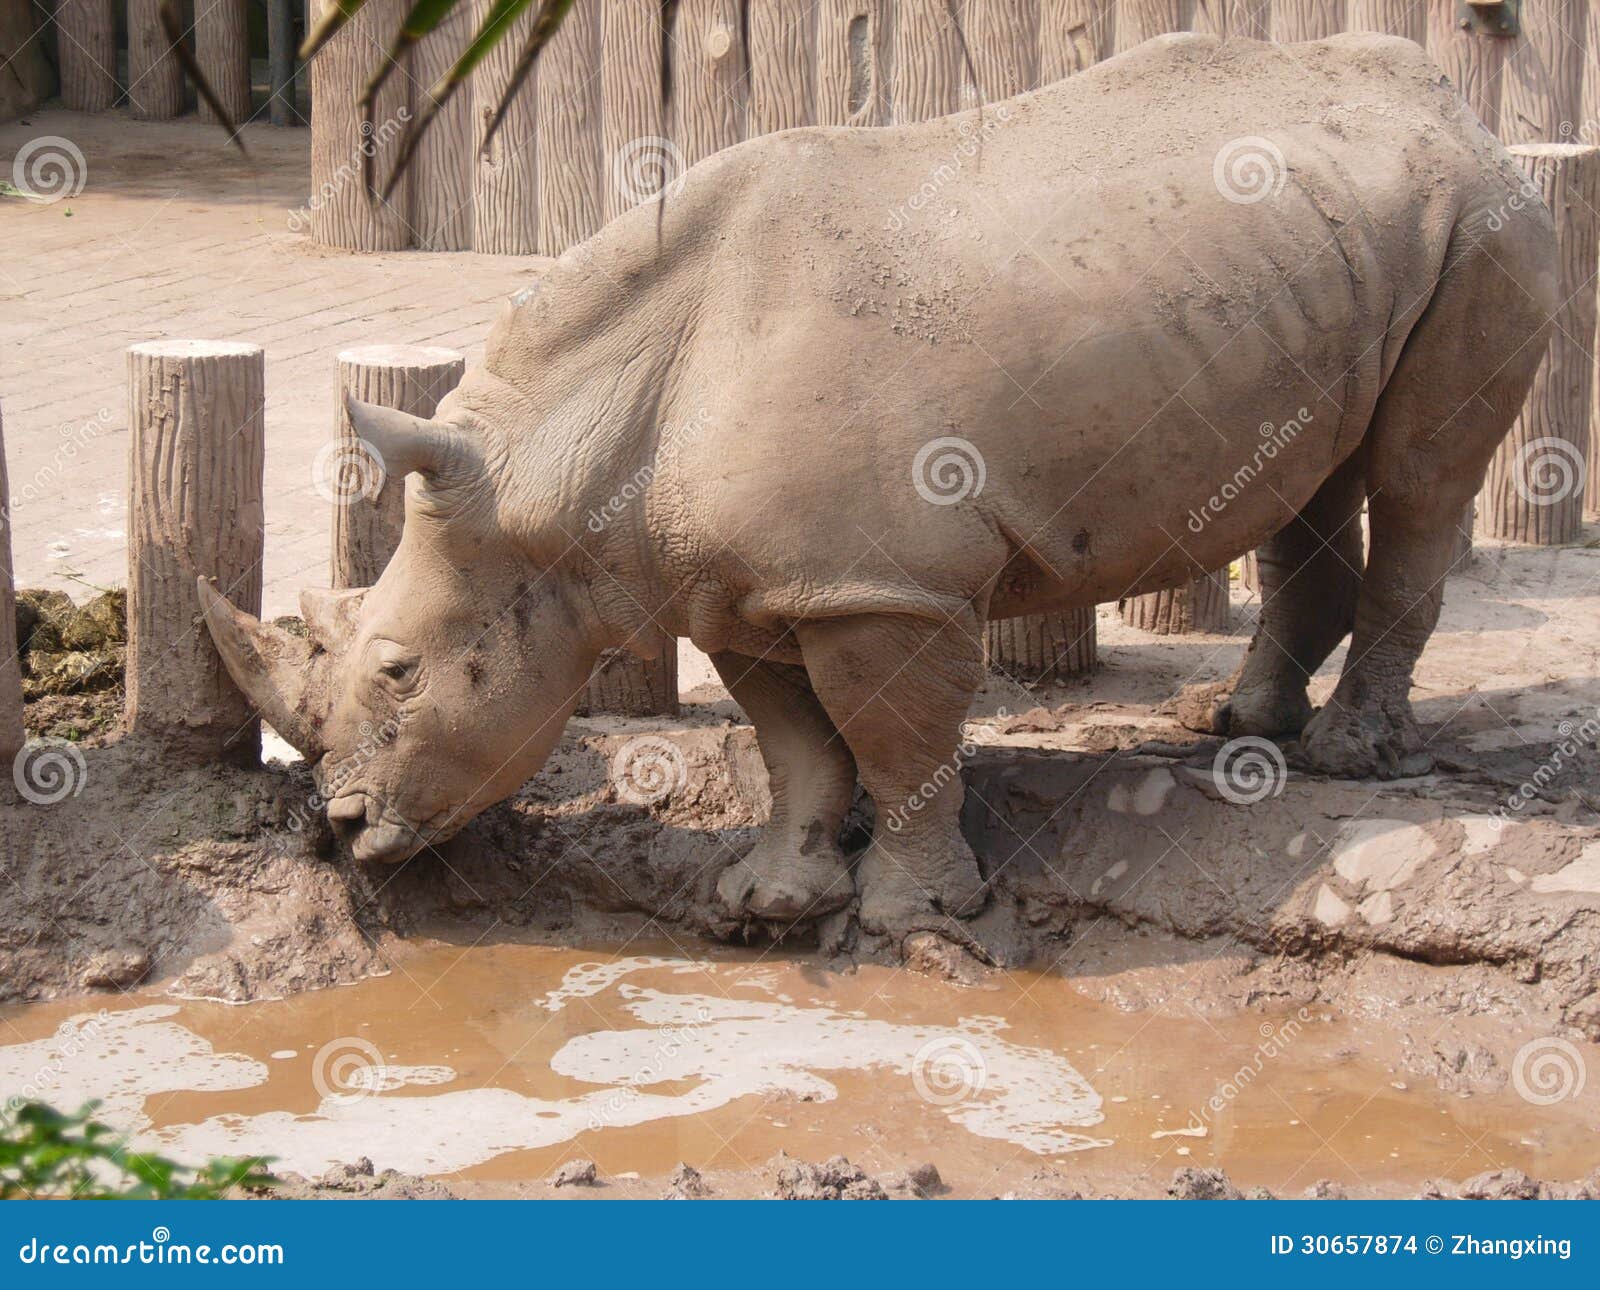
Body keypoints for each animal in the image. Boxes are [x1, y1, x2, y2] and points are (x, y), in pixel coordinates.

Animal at [199, 33, 1556, 943]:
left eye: (399, 672)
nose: (344, 832)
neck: (554, 472)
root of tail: (1447, 101)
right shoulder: (744, 588)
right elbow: (796, 742)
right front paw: (770, 902)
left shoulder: (877, 582)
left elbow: (896, 740)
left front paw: (913, 921)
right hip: (1335, 248)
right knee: (1307, 475)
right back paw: (1238, 729)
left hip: (1482, 224)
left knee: (1419, 479)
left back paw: (1347, 757)